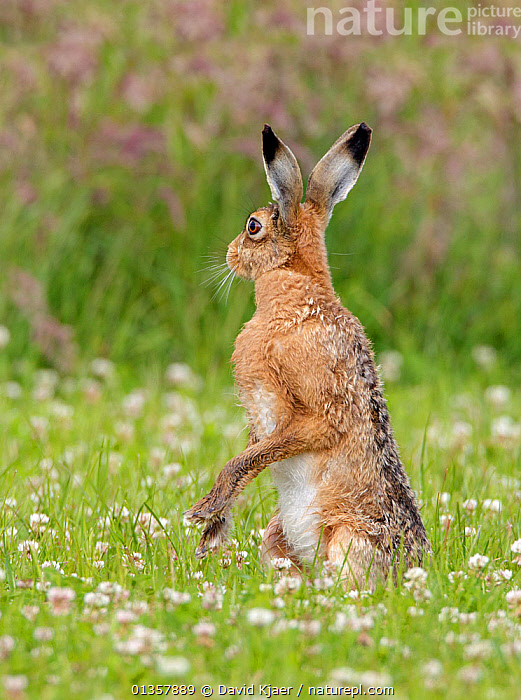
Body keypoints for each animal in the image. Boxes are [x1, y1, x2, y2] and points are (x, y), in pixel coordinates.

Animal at [185, 122, 430, 589]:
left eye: (253, 226)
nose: (229, 254)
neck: (297, 291)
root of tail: (414, 569)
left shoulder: (318, 415)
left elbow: (247, 460)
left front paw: (203, 512)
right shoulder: (261, 422)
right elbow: (251, 457)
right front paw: (213, 529)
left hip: (348, 537)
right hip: (275, 535)